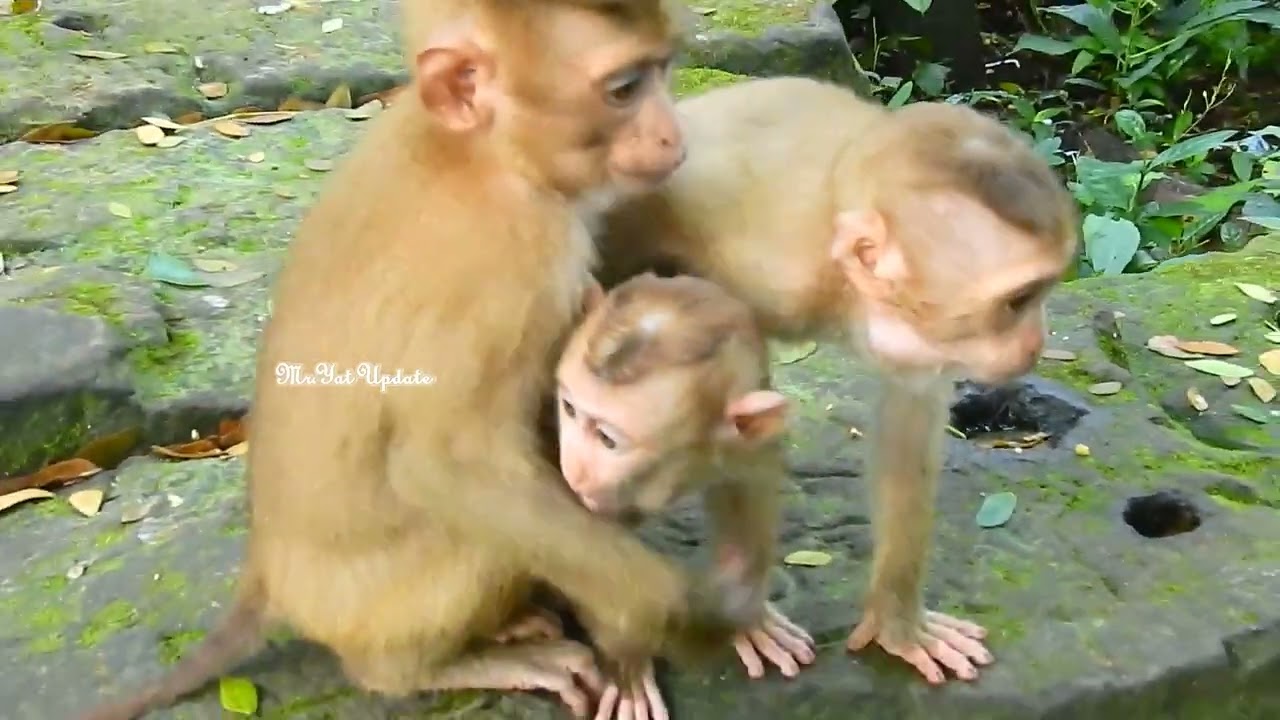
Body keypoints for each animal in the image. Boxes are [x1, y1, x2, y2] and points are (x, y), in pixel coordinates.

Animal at [77, 3, 752, 720]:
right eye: (624, 89)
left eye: (663, 68)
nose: (674, 135)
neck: (476, 153)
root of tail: (267, 574)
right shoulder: (515, 265)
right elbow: (447, 465)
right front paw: (672, 621)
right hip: (377, 605)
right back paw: (422, 666)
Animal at [545, 273, 816, 720]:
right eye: (568, 409)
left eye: (607, 440)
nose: (576, 470)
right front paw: (628, 659)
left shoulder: (742, 438)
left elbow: (750, 475)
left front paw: (748, 616)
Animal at [593, 76, 1081, 685]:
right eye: (1018, 300)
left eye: (1043, 291)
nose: (1036, 341)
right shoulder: (765, 268)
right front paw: (748, 619)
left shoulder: (917, 337)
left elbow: (909, 422)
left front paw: (900, 625)